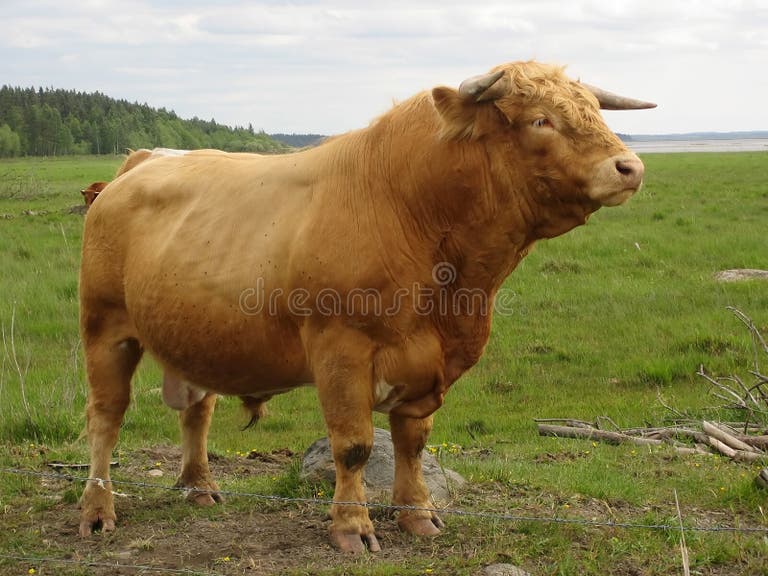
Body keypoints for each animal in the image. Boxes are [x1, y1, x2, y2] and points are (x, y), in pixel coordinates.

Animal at [77, 60, 655, 552]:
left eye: (595, 110)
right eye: (540, 119)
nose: (630, 167)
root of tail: (143, 162)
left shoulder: (427, 359)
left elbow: (413, 441)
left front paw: (417, 514)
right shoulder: (341, 350)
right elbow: (353, 444)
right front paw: (352, 526)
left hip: (195, 336)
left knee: (197, 410)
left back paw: (199, 486)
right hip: (105, 327)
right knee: (106, 418)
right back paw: (97, 509)